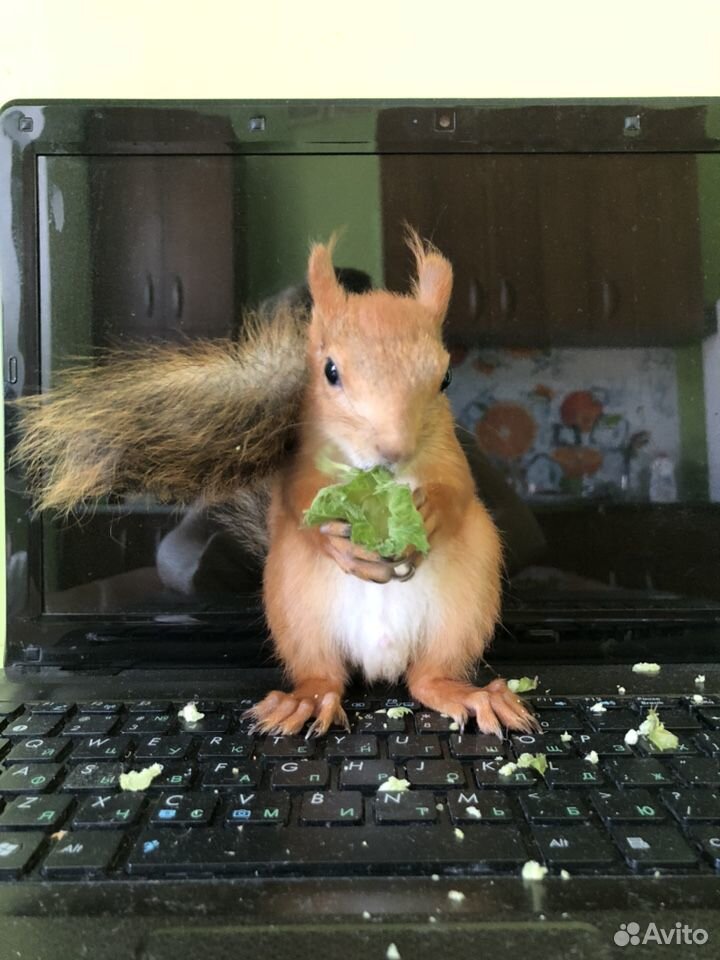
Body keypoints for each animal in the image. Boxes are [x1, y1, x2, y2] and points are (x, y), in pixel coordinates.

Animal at [12, 232, 539, 738]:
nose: (393, 451)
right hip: (298, 611)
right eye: (329, 371)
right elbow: (298, 502)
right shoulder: (301, 465)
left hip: (464, 608)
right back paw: (303, 703)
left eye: (445, 377)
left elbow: (459, 490)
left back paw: (472, 695)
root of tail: (381, 660)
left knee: (428, 678)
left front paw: (428, 516)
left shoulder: (450, 455)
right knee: (324, 677)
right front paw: (337, 538)